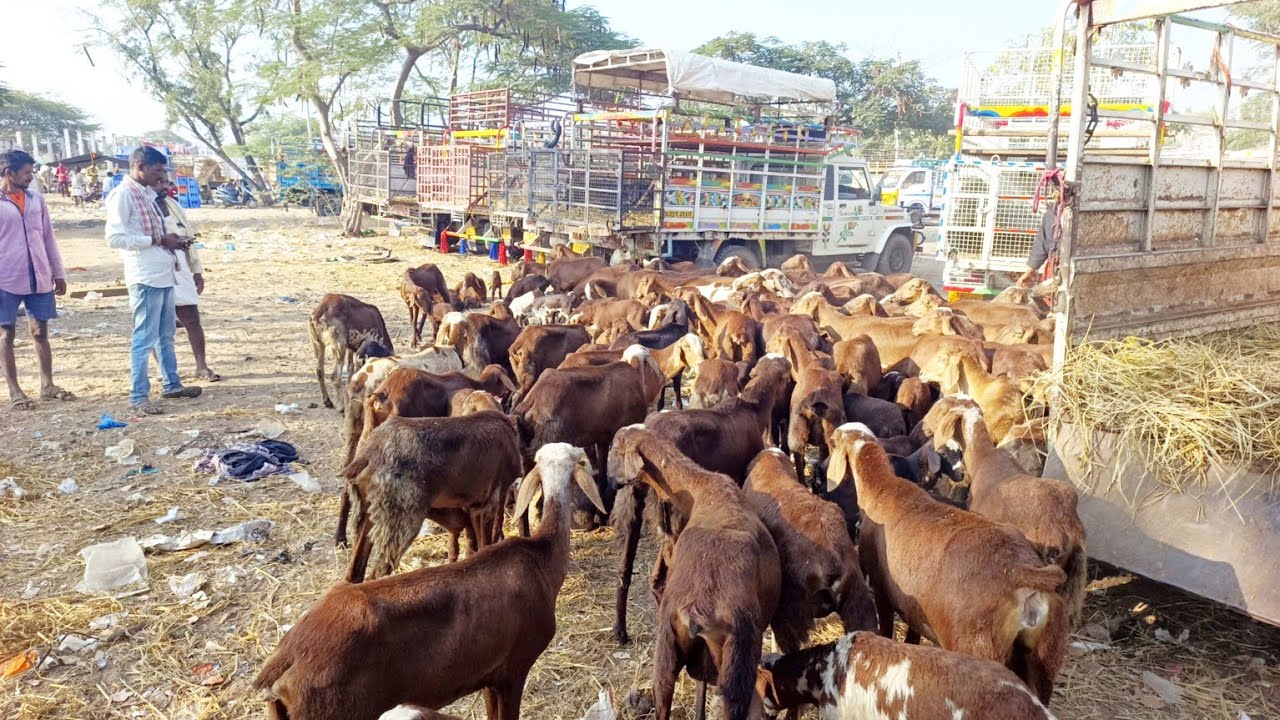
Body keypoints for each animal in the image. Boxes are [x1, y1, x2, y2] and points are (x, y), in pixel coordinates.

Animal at [341, 411, 522, 583]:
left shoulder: (472, 509)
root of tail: (367, 456)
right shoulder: (487, 505)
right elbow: (484, 545)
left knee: (354, 573)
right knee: (374, 575)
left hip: (367, 517)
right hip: (399, 526)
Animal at [609, 427, 781, 720]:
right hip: (737, 668)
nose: (610, 482)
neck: (702, 488)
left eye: (615, 448)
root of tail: (697, 612)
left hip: (667, 658)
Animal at [825, 423, 1068, 704]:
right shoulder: (912, 606)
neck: (882, 489)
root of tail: (1023, 573)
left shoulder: (881, 592)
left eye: (834, 441)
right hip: (1043, 657)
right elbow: (913, 635)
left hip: (978, 648)